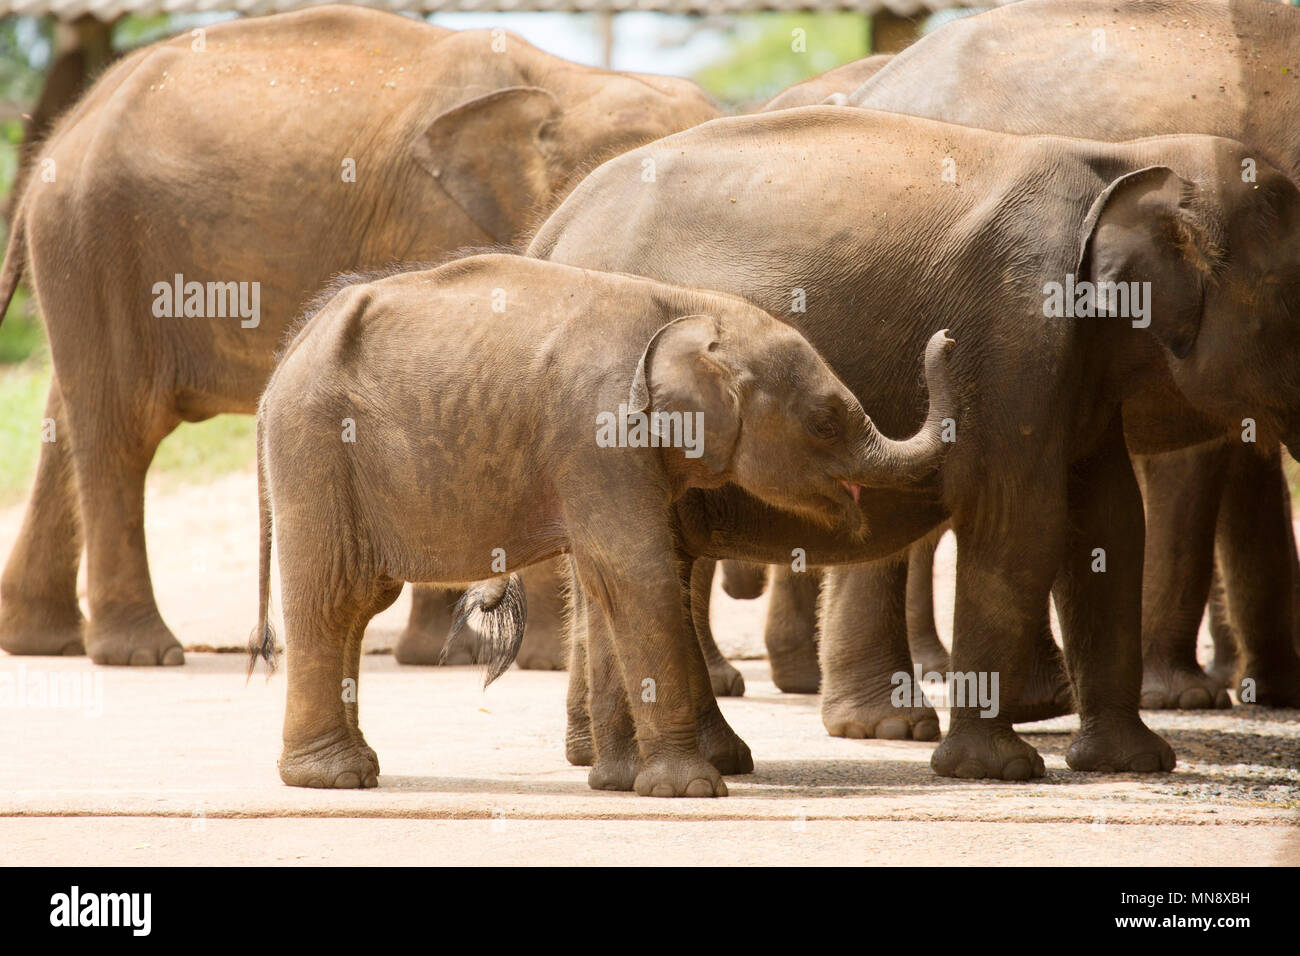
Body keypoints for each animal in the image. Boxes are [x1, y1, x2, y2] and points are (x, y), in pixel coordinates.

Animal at [0, 4, 719, 667]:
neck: (571, 81)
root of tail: (61, 137)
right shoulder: (436, 221)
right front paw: (497, 658)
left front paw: (445, 655)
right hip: (96, 242)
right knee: (120, 429)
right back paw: (144, 653)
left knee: (67, 422)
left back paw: (45, 642)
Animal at [251, 253, 958, 795]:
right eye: (826, 422)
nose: (947, 340)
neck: (690, 311)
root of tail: (287, 357)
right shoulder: (598, 437)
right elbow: (639, 577)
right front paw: (691, 789)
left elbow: (607, 587)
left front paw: (620, 783)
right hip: (316, 445)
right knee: (336, 597)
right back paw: (335, 779)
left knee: (358, 602)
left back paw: (354, 769)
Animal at [531, 105, 1300, 779]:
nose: (944, 342)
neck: (1123, 158)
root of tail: (552, 227)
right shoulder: (1018, 331)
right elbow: (1017, 519)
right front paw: (997, 771)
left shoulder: (1076, 367)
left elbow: (1108, 523)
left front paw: (1132, 764)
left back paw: (658, 758)